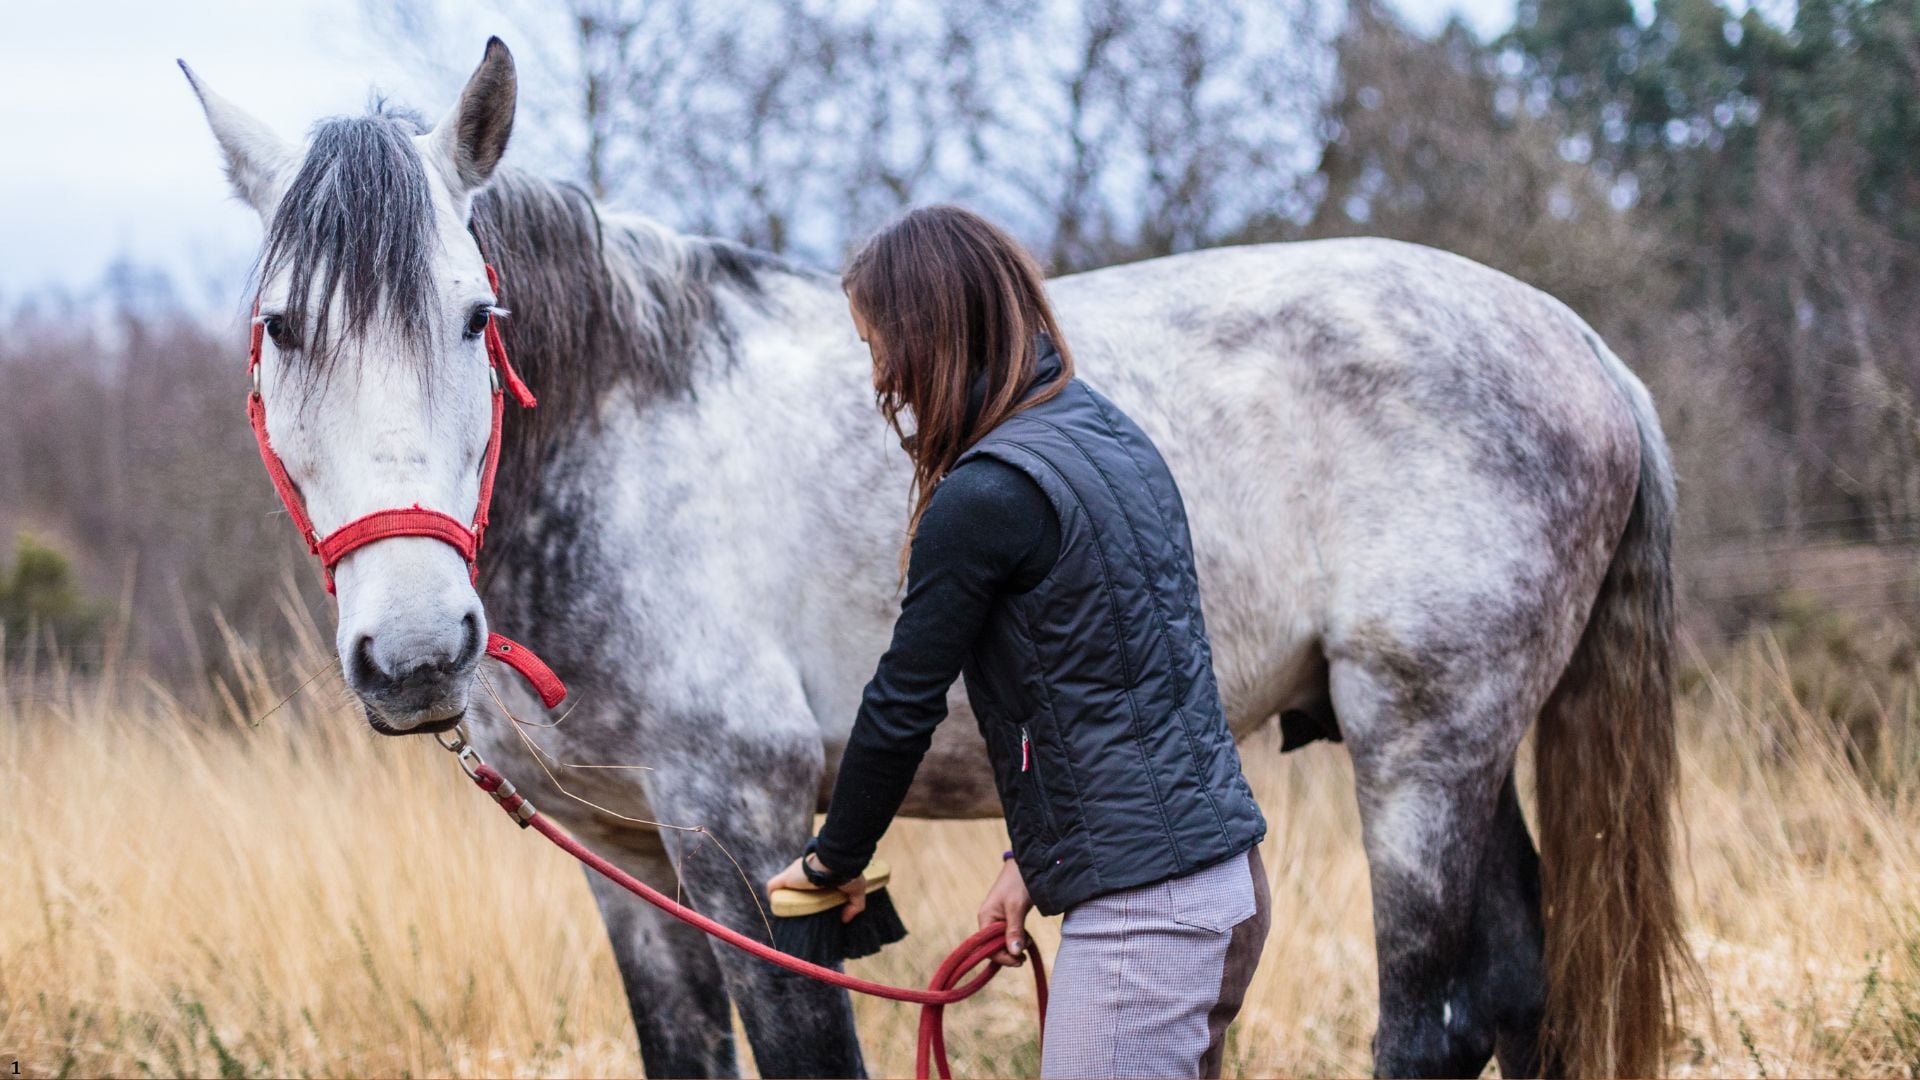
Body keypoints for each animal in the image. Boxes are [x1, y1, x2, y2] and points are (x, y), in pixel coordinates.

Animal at [181, 38, 1688, 1079]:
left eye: (476, 317)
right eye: (280, 328)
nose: (414, 654)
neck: (629, 431)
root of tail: (1590, 351)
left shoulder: (745, 833)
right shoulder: (627, 860)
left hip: (1422, 748)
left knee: (1428, 1026)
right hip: (1468, 748)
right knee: (1517, 995)